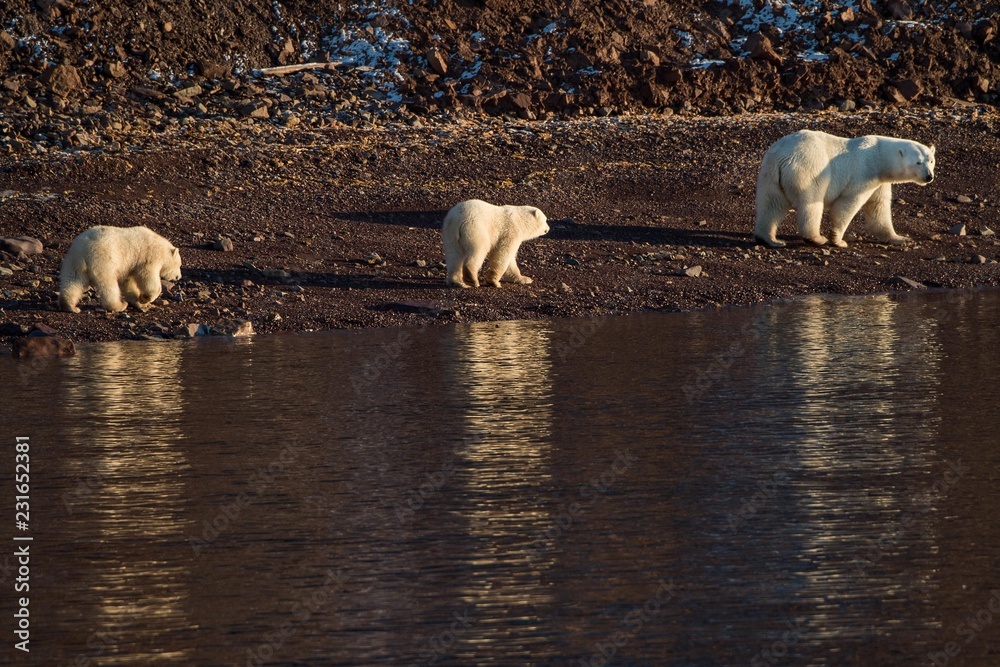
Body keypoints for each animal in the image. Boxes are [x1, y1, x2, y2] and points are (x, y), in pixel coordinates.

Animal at [754, 129, 935, 248]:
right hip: (808, 169)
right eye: (918, 162)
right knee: (811, 202)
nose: (929, 176)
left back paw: (770, 239)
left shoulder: (879, 181)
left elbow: (878, 208)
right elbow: (848, 204)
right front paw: (838, 240)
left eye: (931, 160)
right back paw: (817, 238)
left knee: (771, 203)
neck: (879, 155)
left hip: (770, 173)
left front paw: (900, 238)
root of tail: (784, 157)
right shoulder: (864, 172)